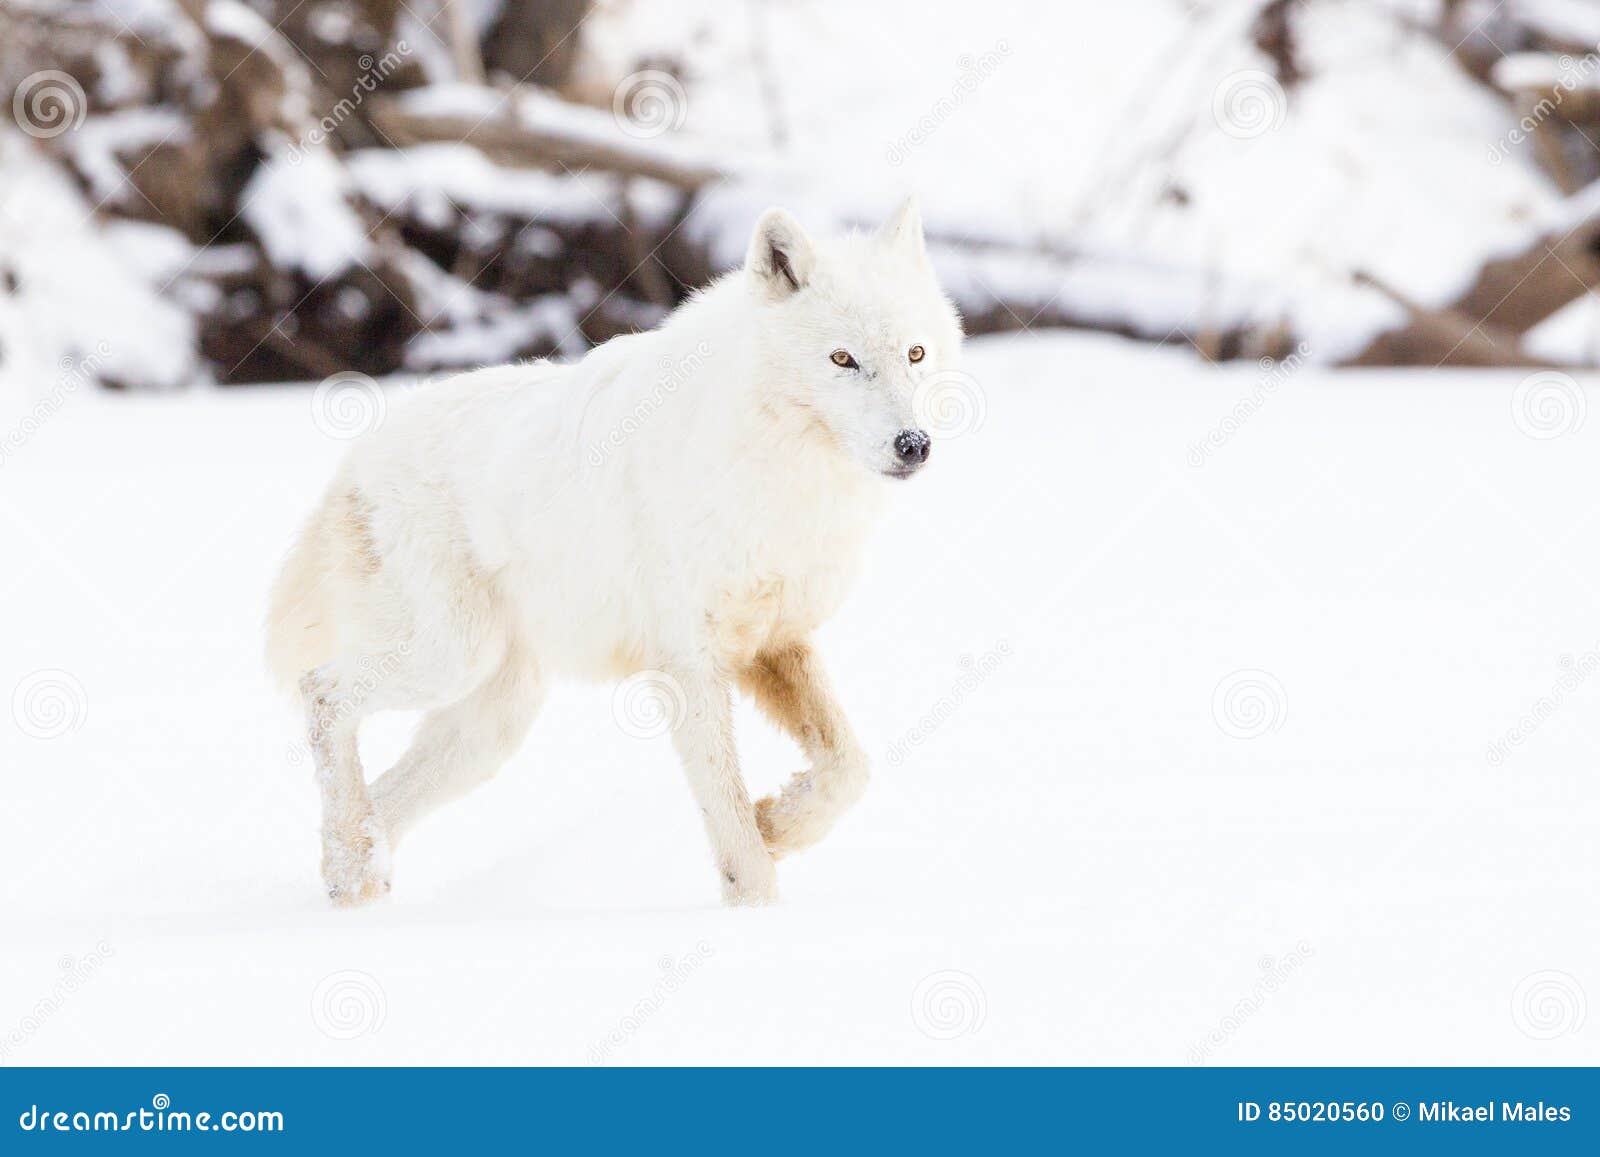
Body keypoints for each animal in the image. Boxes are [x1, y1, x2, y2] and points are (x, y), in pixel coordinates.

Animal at [265, 199, 963, 907]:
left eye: (915, 352)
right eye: (842, 359)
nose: (913, 444)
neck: (772, 469)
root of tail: (355, 460)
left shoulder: (778, 642)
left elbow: (850, 767)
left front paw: (778, 824)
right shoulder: (689, 663)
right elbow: (731, 820)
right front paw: (753, 903)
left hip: (490, 725)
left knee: (382, 798)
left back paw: (354, 873)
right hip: (453, 657)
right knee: (320, 694)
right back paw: (353, 867)